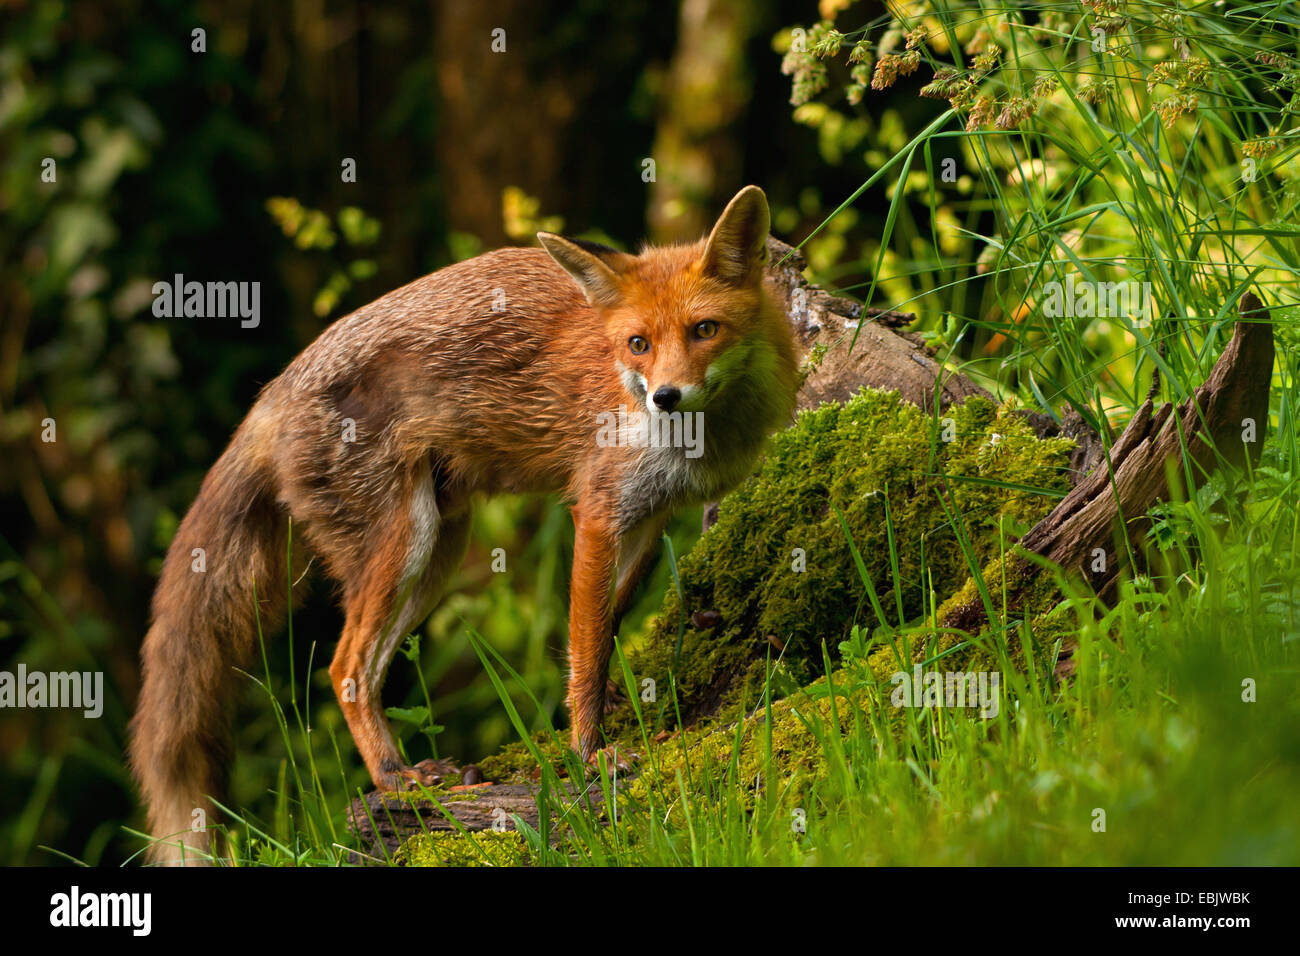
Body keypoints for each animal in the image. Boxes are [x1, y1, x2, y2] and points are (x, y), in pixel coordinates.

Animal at [128, 185, 799, 864]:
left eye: (703, 330)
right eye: (638, 344)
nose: (664, 397)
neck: (699, 439)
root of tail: (276, 388)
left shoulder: (648, 519)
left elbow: (606, 628)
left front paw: (610, 704)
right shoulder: (599, 509)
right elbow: (585, 647)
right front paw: (591, 755)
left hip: (439, 551)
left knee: (362, 666)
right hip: (404, 543)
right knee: (344, 668)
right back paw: (397, 778)